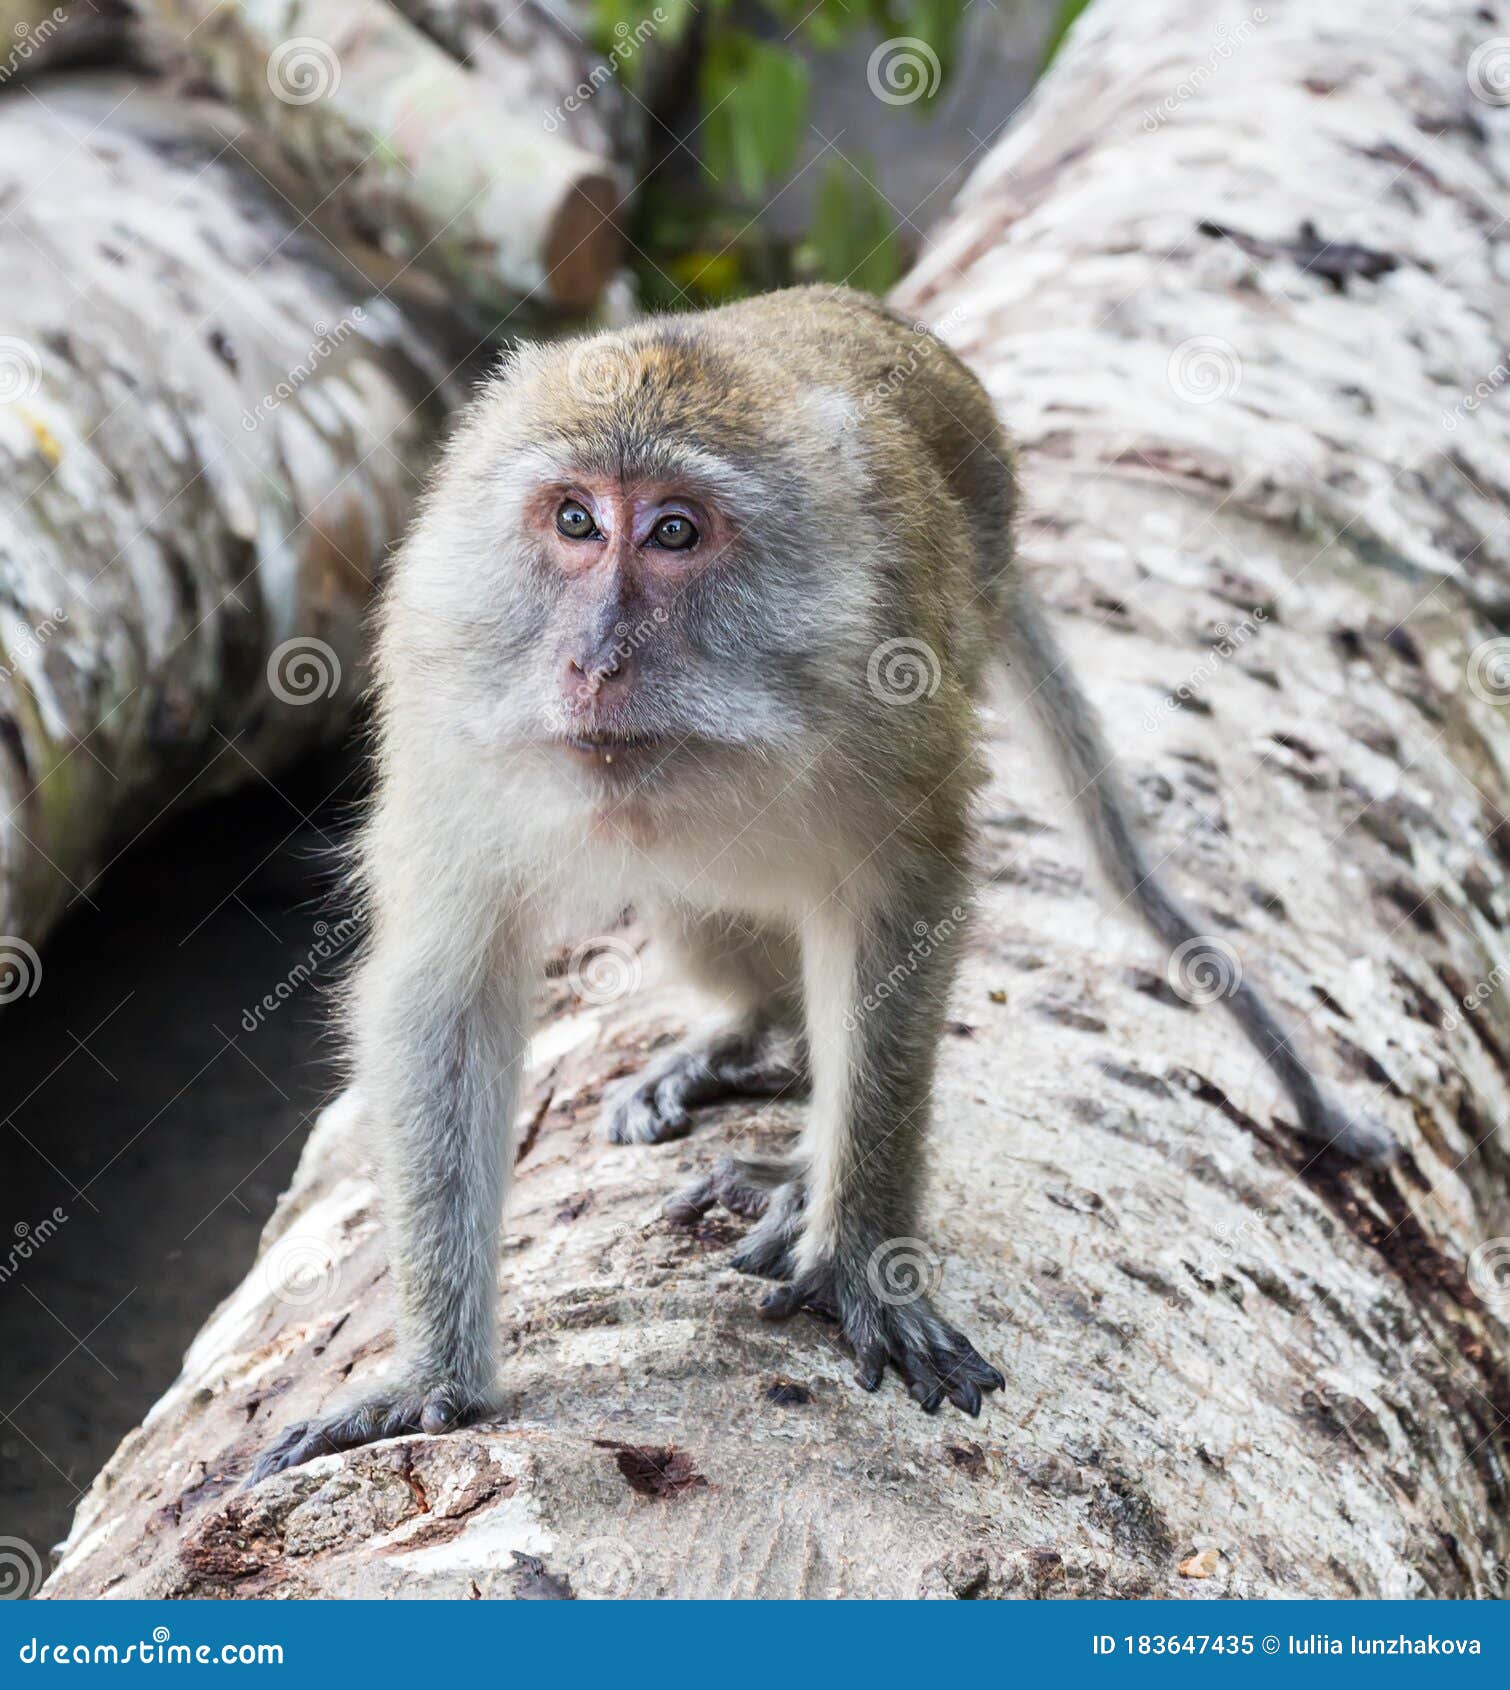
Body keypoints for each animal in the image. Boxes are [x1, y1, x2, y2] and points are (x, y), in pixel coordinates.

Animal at [251, 284, 1396, 1480]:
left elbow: (898, 927)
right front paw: (434, 1375)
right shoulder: (445, 705)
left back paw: (799, 1165)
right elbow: (450, 989)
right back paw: (751, 1035)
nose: (595, 661)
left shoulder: (895, 690)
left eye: (674, 531)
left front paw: (856, 1254)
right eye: (574, 521)